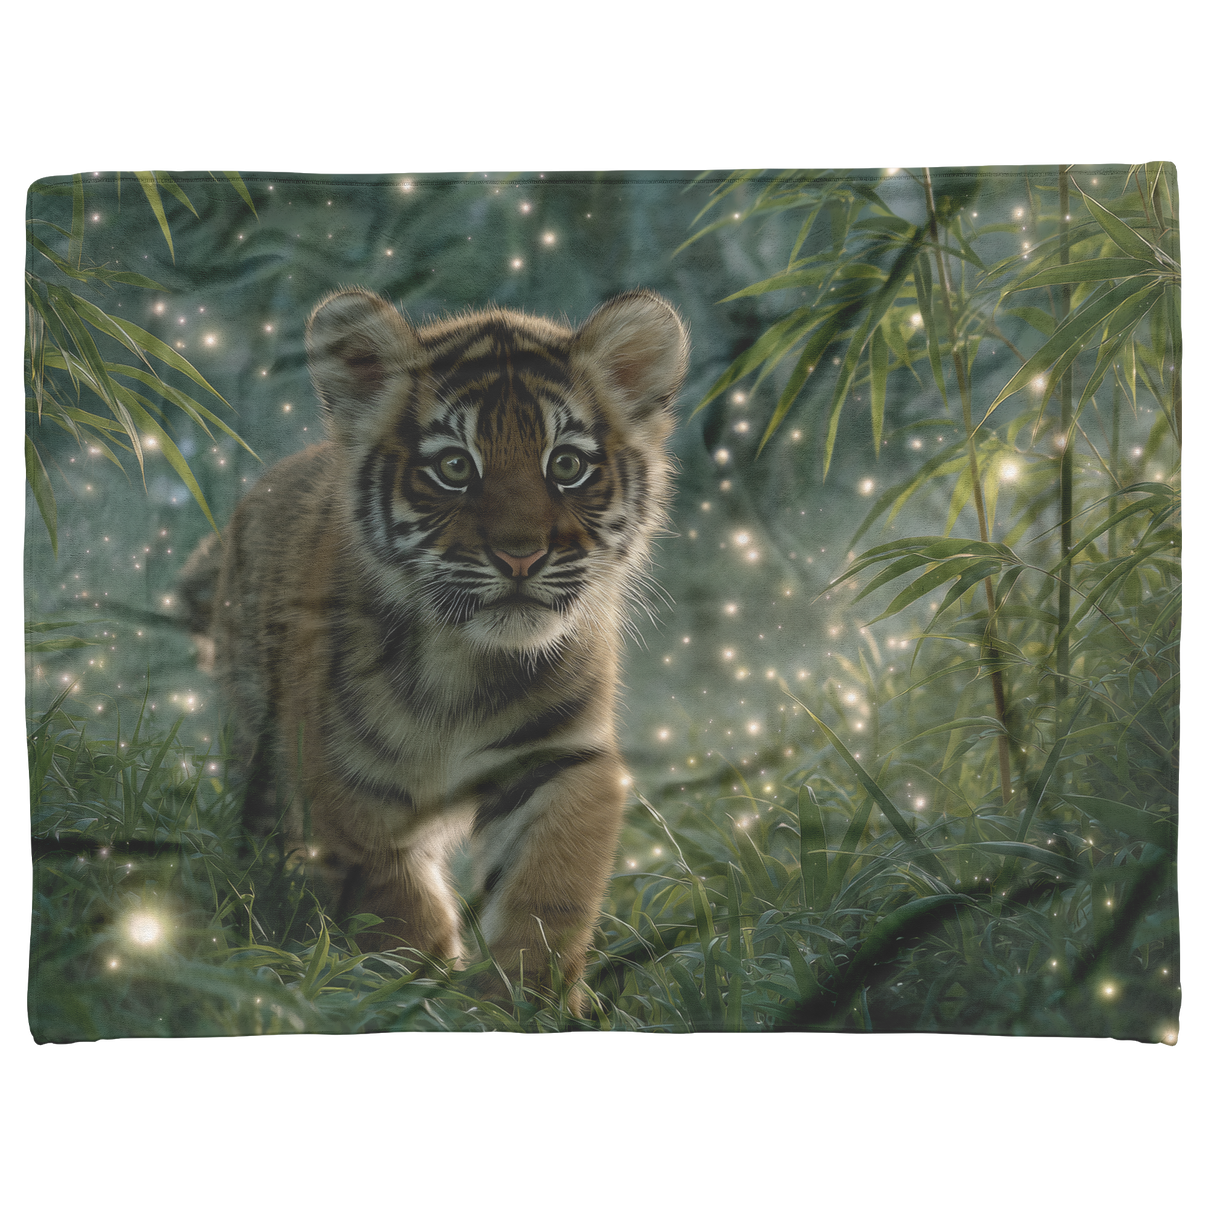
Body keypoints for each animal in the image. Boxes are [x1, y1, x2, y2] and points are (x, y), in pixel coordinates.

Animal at [180, 286, 689, 1013]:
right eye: (454, 467)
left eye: (566, 464)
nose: (521, 555)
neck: (468, 661)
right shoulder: (347, 782)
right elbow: (395, 907)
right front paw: (416, 994)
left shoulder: (561, 760)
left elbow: (545, 892)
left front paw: (525, 1003)